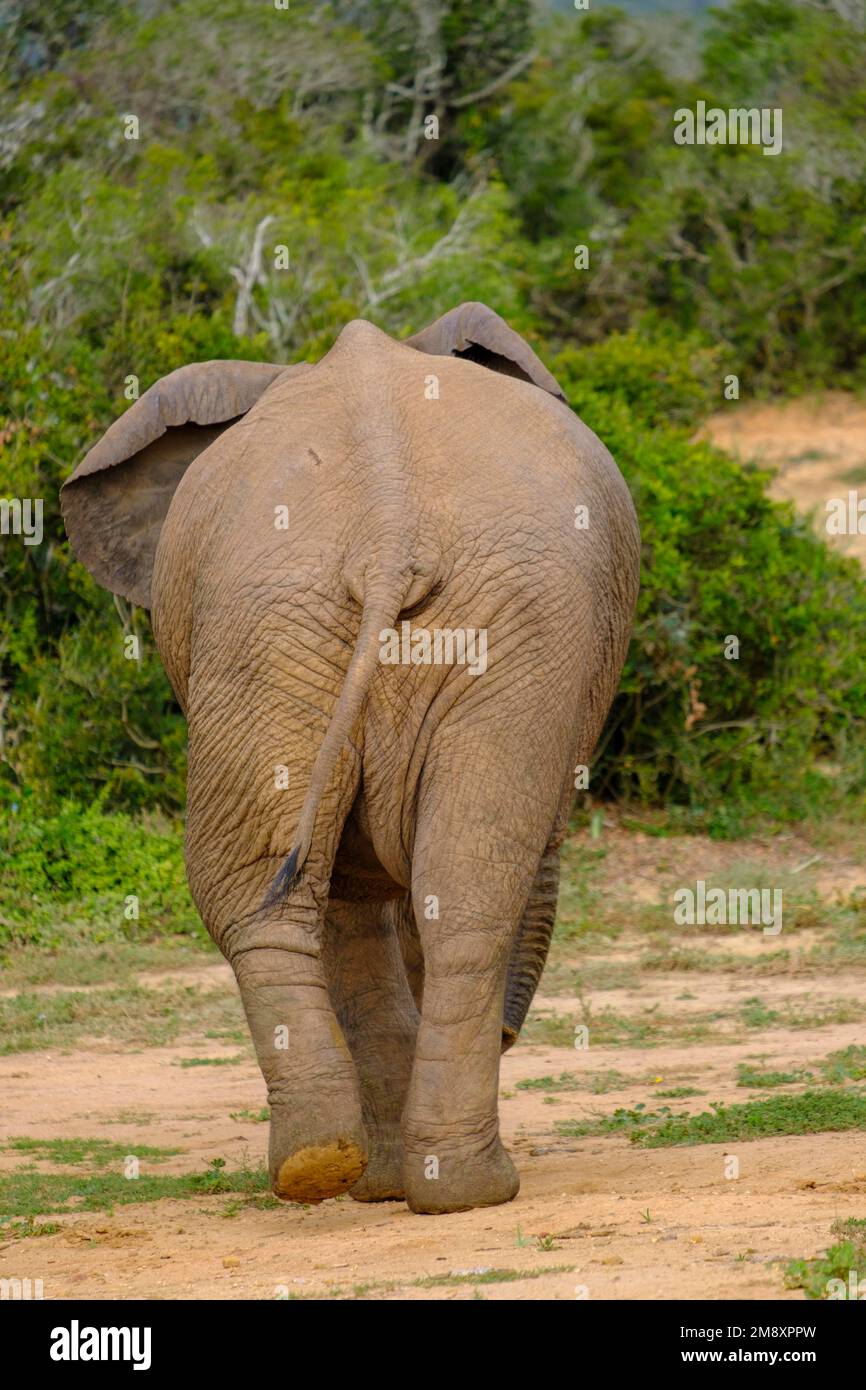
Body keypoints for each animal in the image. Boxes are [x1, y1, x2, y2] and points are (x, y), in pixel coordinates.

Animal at [62, 302, 640, 1214]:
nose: (512, 1035)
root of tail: (387, 534)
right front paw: (382, 1180)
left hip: (373, 623)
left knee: (311, 887)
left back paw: (359, 1173)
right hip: (315, 625)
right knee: (420, 880)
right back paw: (401, 1177)